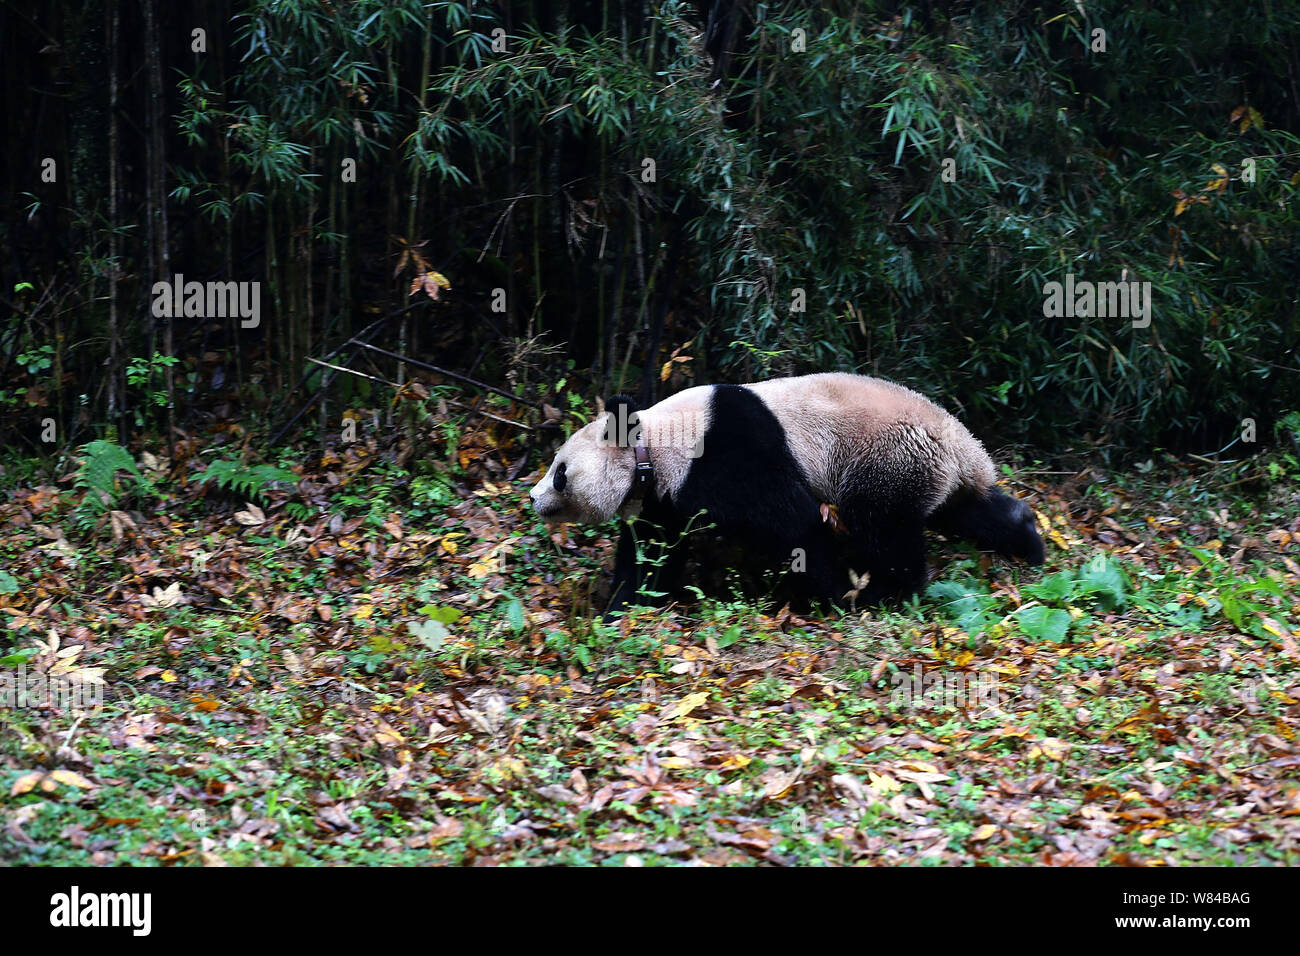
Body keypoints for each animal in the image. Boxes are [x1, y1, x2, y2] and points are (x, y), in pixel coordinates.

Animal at [528, 372, 1045, 615]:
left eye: (560, 472)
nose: (532, 499)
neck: (653, 441)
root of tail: (964, 447)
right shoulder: (665, 493)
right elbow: (653, 552)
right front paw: (623, 607)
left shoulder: (726, 452)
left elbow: (792, 523)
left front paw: (833, 594)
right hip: (928, 472)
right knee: (966, 511)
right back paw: (1029, 539)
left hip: (886, 458)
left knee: (885, 529)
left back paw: (885, 593)